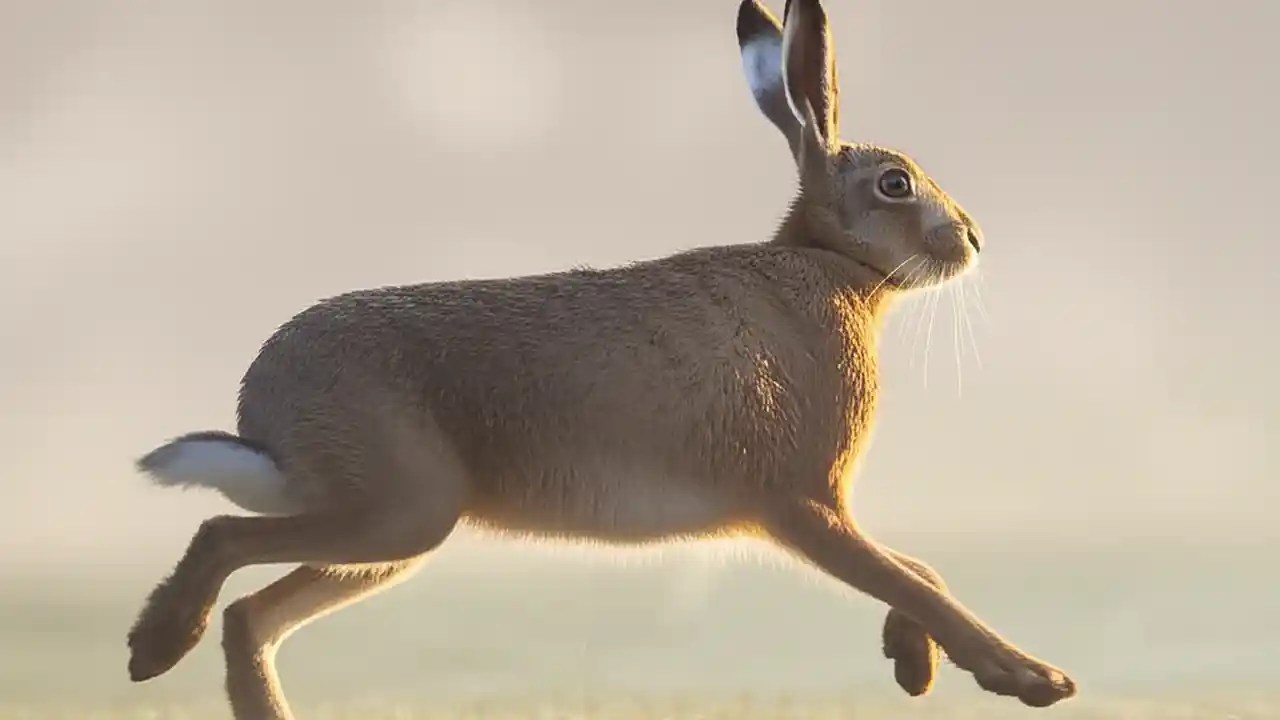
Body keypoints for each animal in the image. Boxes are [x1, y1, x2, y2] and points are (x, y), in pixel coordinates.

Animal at [125, 0, 1076, 717]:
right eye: (894, 184)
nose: (971, 240)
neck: (834, 268)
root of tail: (265, 415)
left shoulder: (814, 508)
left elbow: (918, 572)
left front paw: (912, 666)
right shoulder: (800, 503)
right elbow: (914, 583)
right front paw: (1032, 679)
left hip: (394, 530)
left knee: (253, 616)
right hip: (399, 510)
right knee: (223, 539)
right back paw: (151, 648)